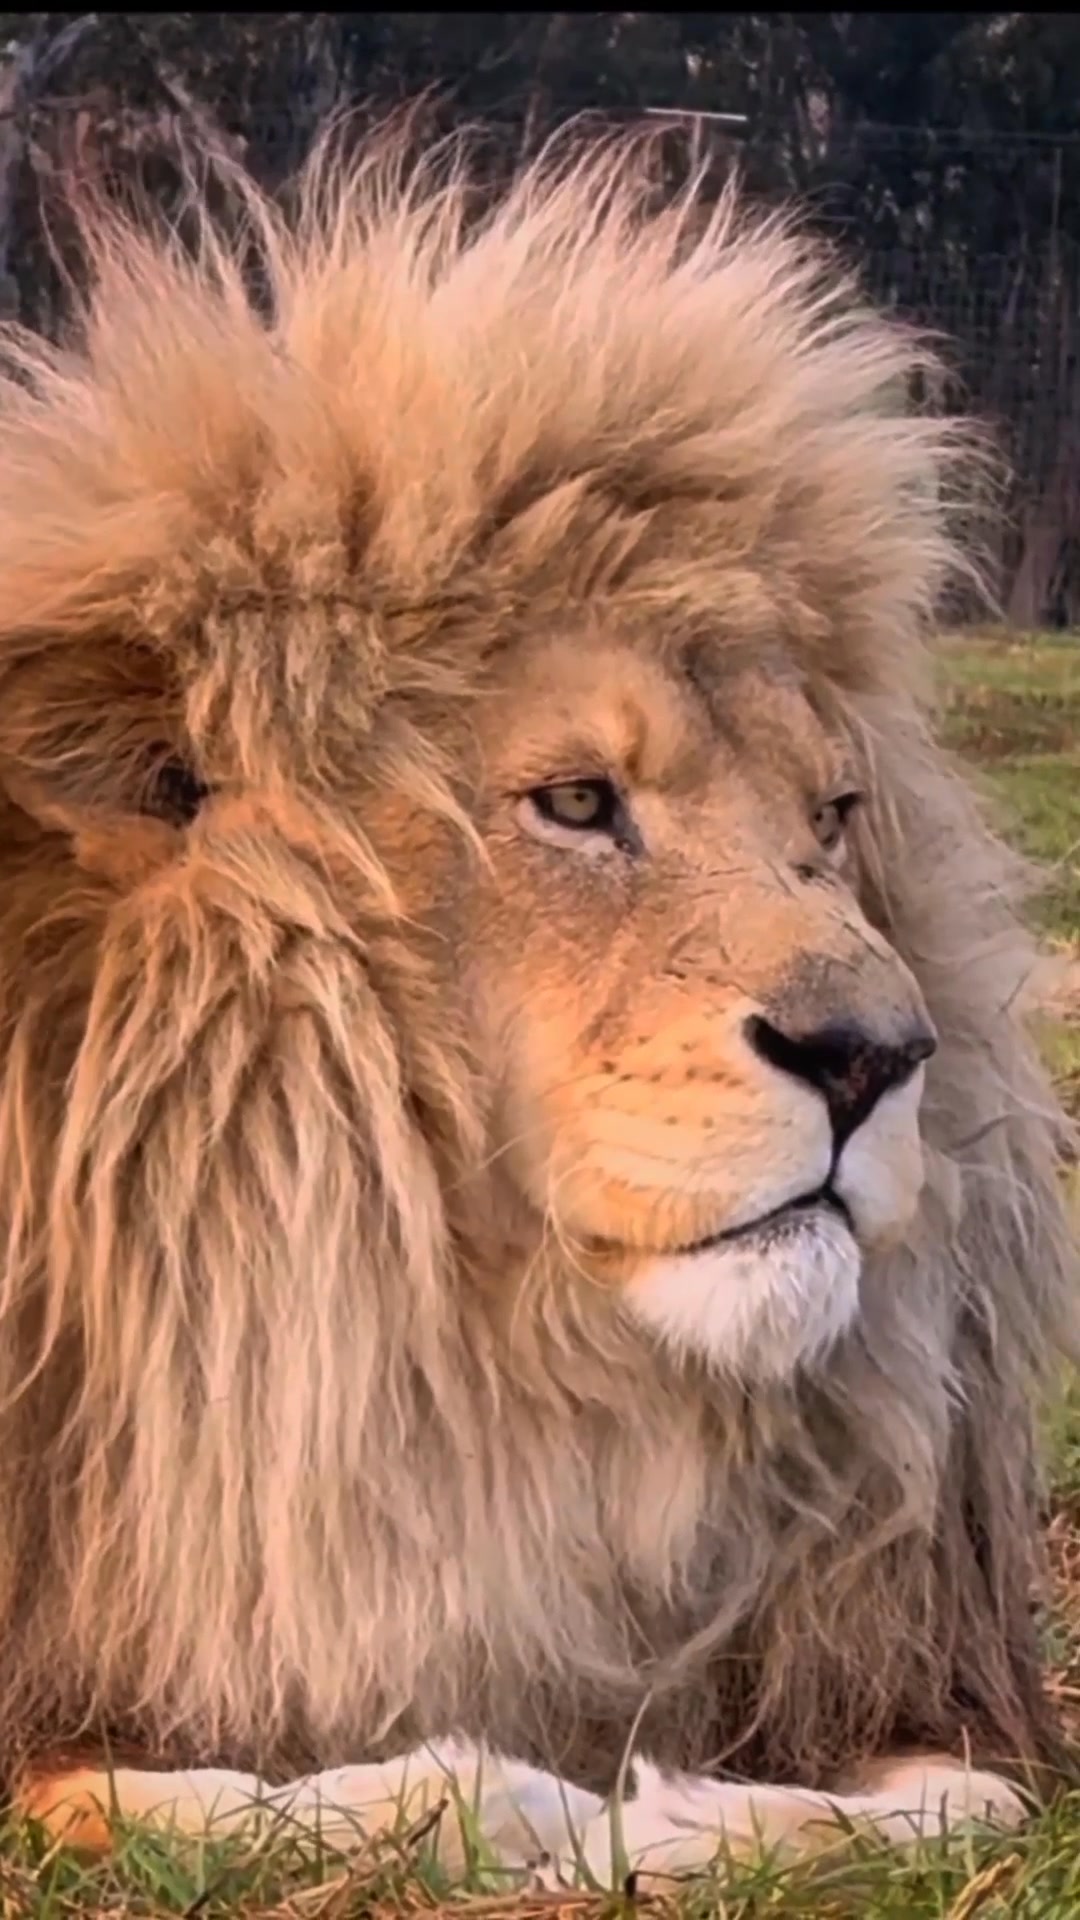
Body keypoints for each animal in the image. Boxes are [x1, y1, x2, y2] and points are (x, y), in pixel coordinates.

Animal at [0, 120, 1076, 1886]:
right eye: (577, 801)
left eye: (831, 817)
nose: (876, 1057)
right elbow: (254, 1784)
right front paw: (572, 1808)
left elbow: (968, 1790)